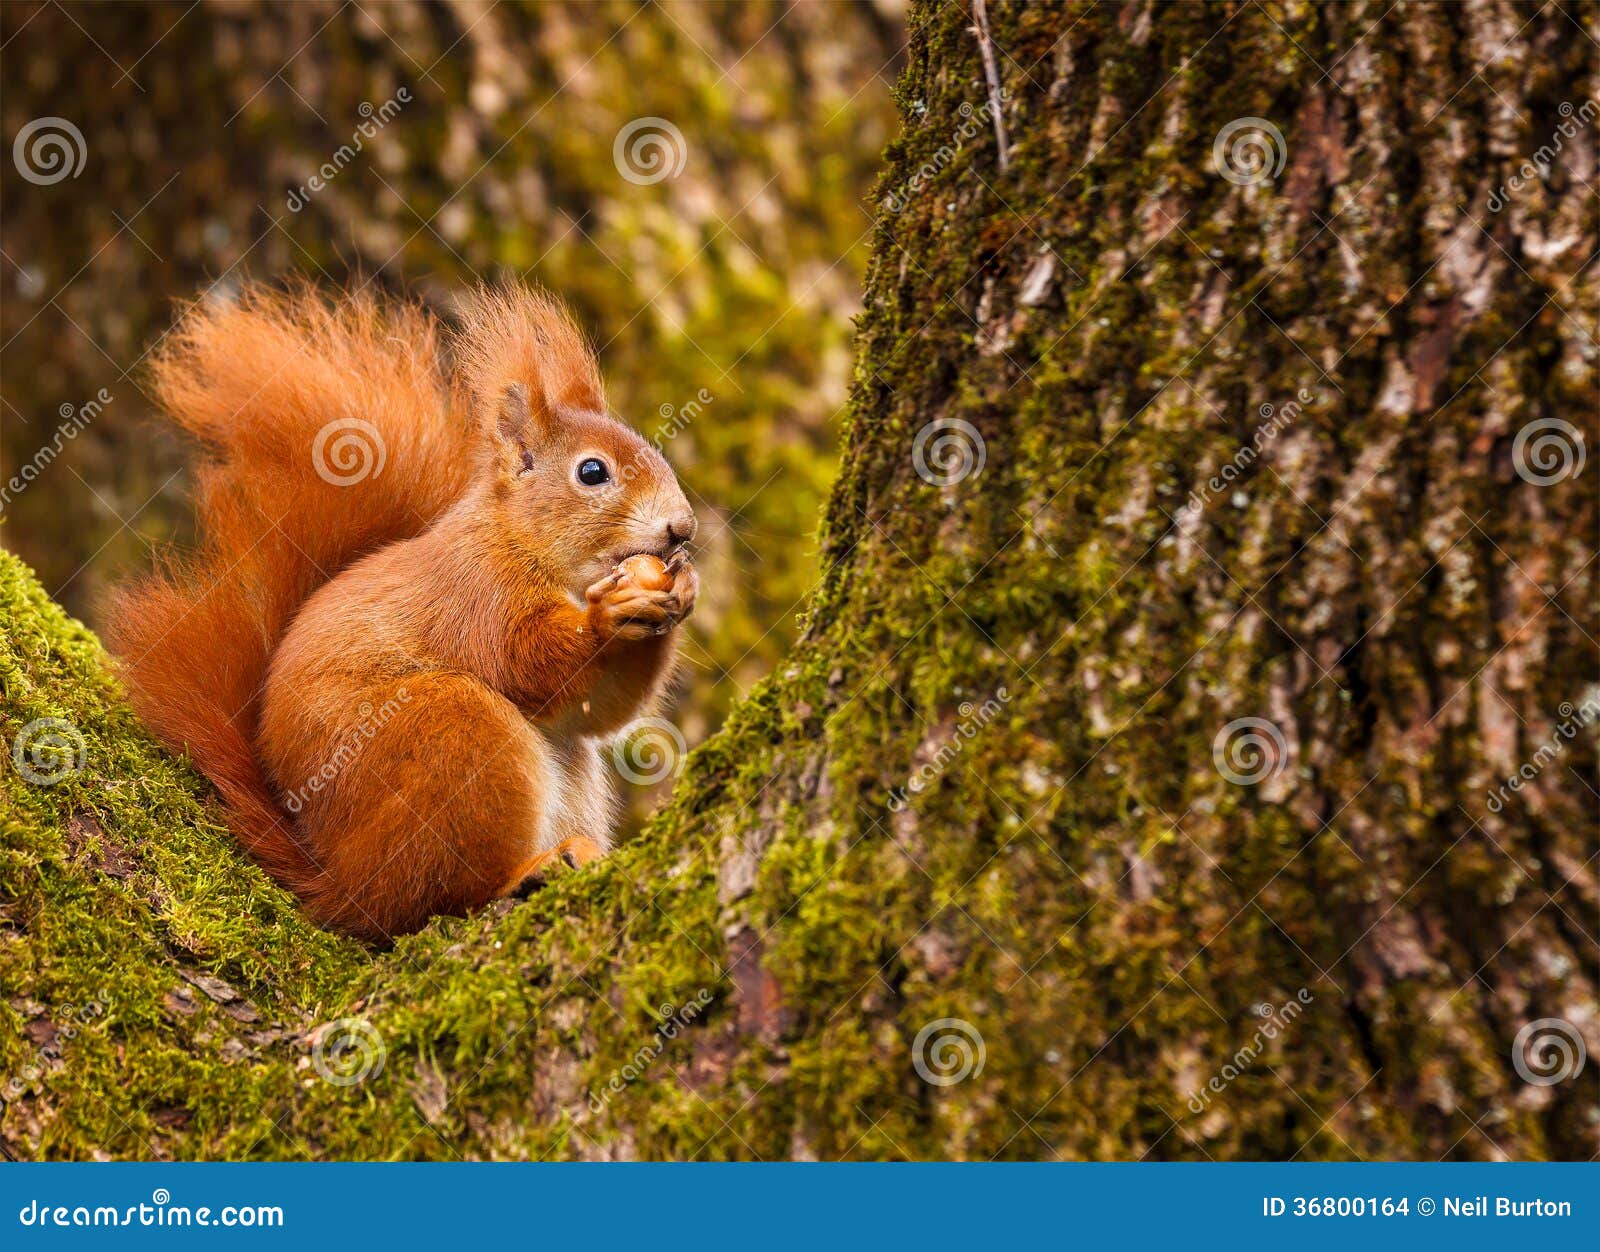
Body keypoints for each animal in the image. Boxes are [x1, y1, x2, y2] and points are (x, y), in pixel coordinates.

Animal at [107, 282, 699, 941]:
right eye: (592, 471)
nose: (682, 529)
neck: (521, 542)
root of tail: (334, 880)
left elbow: (601, 708)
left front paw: (680, 590)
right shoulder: (477, 595)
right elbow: (527, 663)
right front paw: (608, 615)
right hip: (451, 734)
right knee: (429, 900)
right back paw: (526, 871)